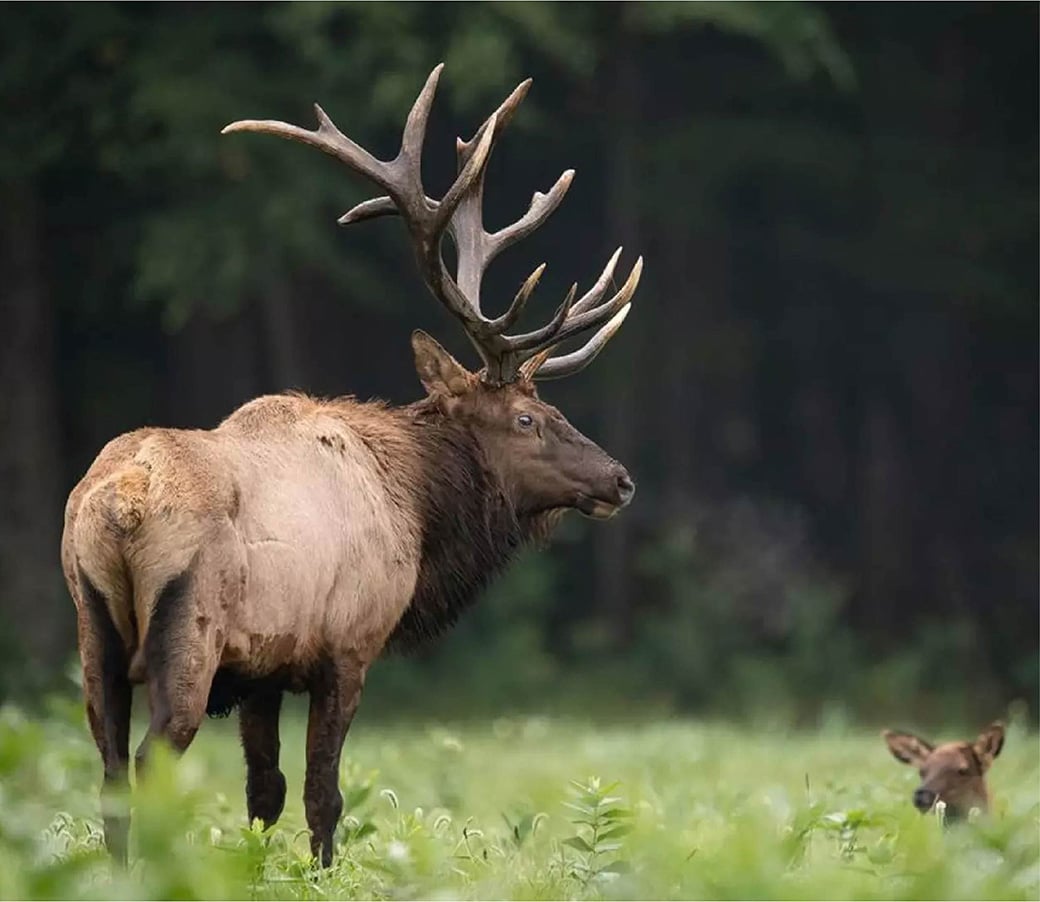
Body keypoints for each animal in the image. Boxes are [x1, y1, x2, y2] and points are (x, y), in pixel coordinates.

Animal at [60, 64, 642, 868]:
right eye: (528, 420)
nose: (619, 478)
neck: (417, 511)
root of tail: (121, 504)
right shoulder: (346, 647)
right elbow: (322, 794)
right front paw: (323, 872)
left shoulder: (263, 669)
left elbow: (263, 793)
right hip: (188, 633)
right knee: (150, 765)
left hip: (94, 631)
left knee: (111, 771)